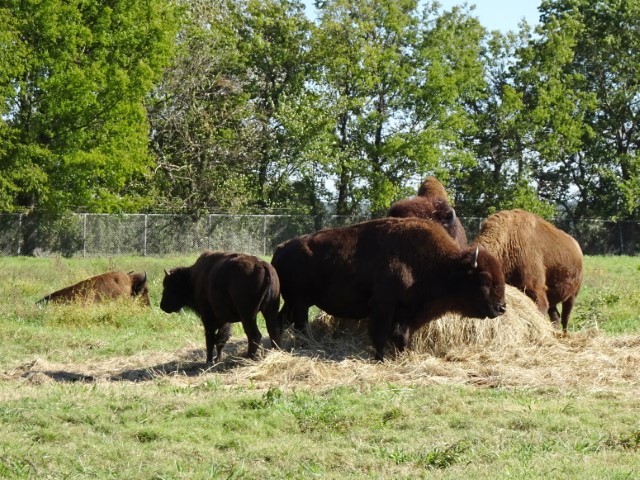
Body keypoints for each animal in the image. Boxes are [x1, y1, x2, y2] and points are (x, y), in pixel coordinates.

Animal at [271, 217, 506, 361]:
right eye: (484, 279)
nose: (501, 307)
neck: (443, 265)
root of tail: (280, 250)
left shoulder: (407, 313)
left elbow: (401, 335)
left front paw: (402, 355)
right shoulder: (383, 306)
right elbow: (381, 334)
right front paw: (380, 359)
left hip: (292, 302)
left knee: (281, 320)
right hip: (300, 302)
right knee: (299, 324)